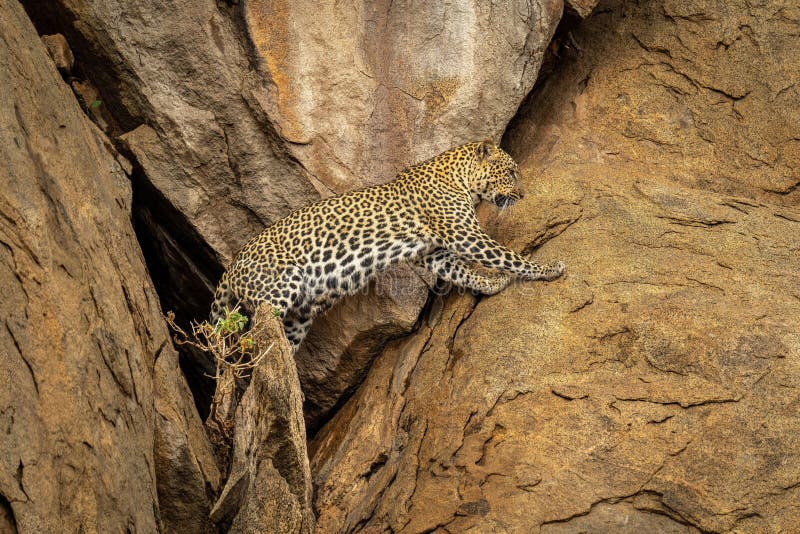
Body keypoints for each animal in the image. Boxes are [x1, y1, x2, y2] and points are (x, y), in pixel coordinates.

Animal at [210, 141, 565, 351]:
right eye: (511, 172)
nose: (522, 196)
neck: (460, 179)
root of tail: (232, 265)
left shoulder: (432, 254)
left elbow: (462, 270)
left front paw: (491, 284)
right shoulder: (464, 234)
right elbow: (506, 255)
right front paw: (547, 269)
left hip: (300, 314)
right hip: (278, 291)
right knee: (249, 344)